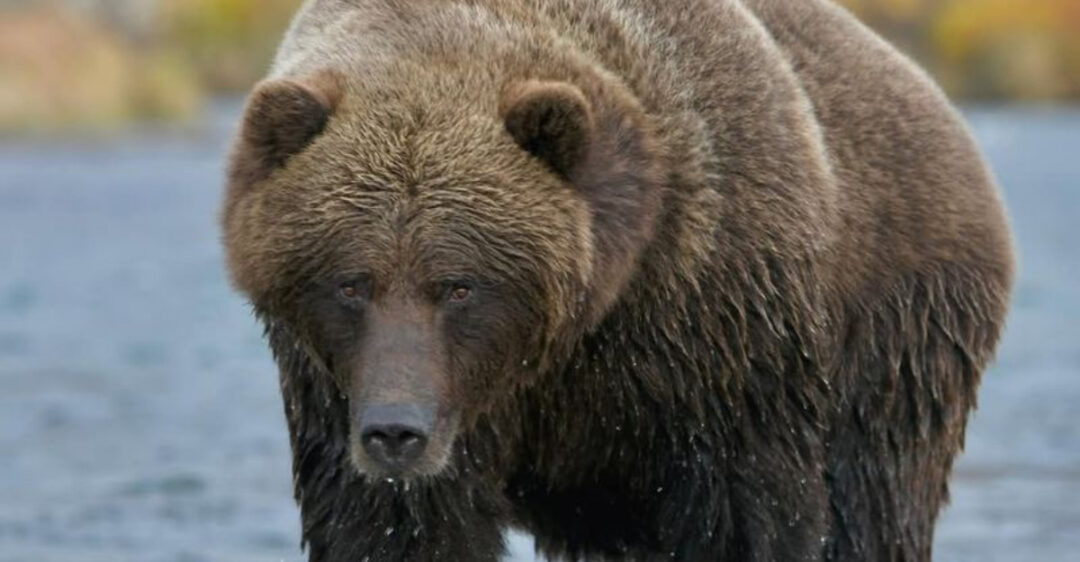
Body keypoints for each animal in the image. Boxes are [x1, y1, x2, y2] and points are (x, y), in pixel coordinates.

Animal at [221, 0, 1015, 561]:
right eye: (351, 282)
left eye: (459, 285)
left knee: (873, 503)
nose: (396, 430)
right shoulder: (340, 392)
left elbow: (746, 512)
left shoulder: (715, 334)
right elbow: (395, 526)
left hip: (897, 331)